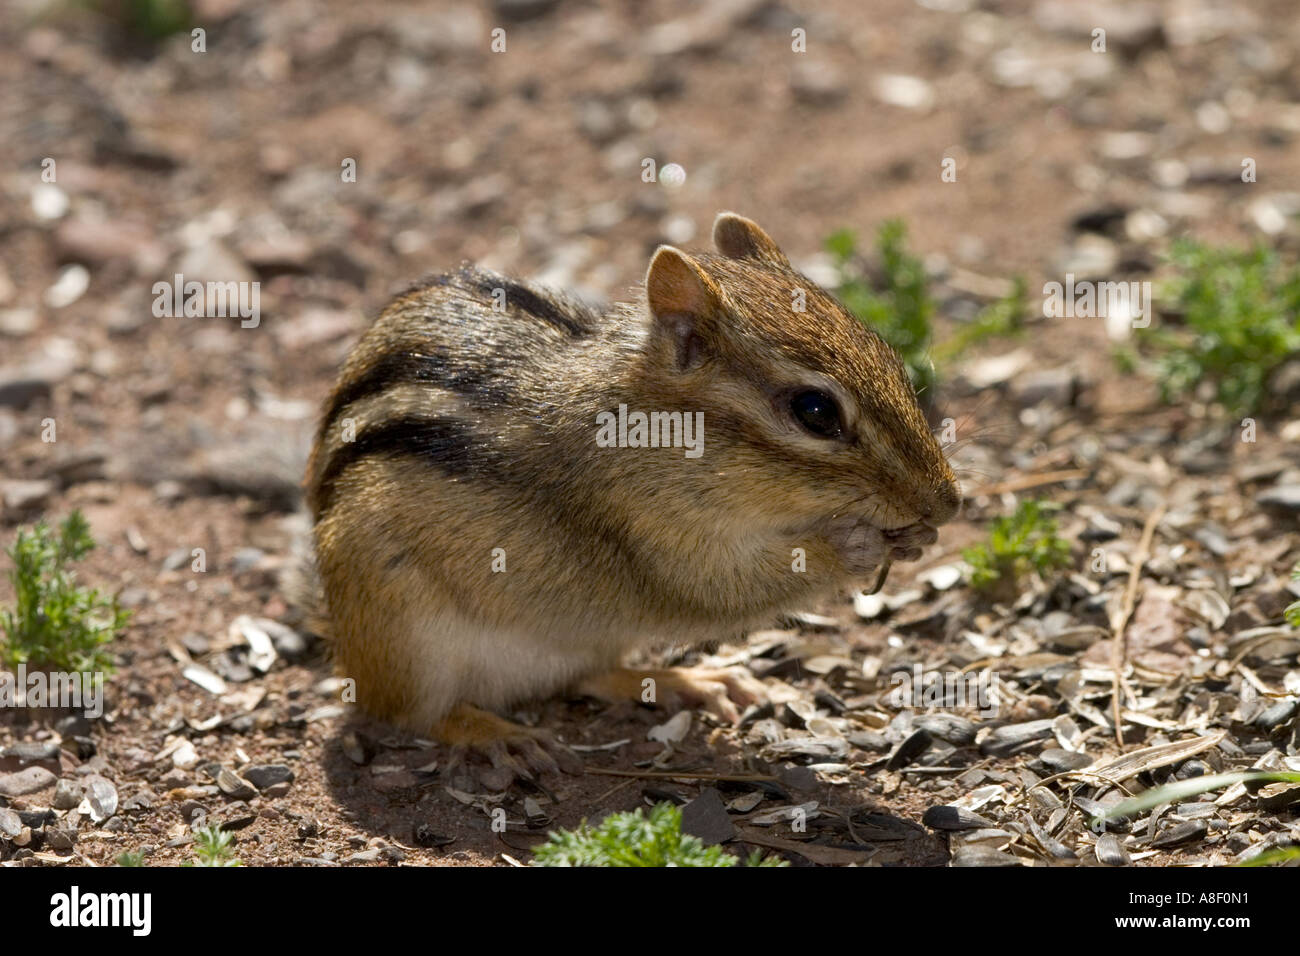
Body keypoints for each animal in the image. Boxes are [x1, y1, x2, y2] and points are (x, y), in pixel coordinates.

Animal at [300, 212, 960, 776]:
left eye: (894, 361)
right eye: (816, 411)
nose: (948, 503)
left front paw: (914, 538)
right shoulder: (649, 534)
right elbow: (721, 589)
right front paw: (856, 544)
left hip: (581, 640)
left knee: (587, 677)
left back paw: (687, 683)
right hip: (404, 634)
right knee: (409, 711)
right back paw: (497, 735)